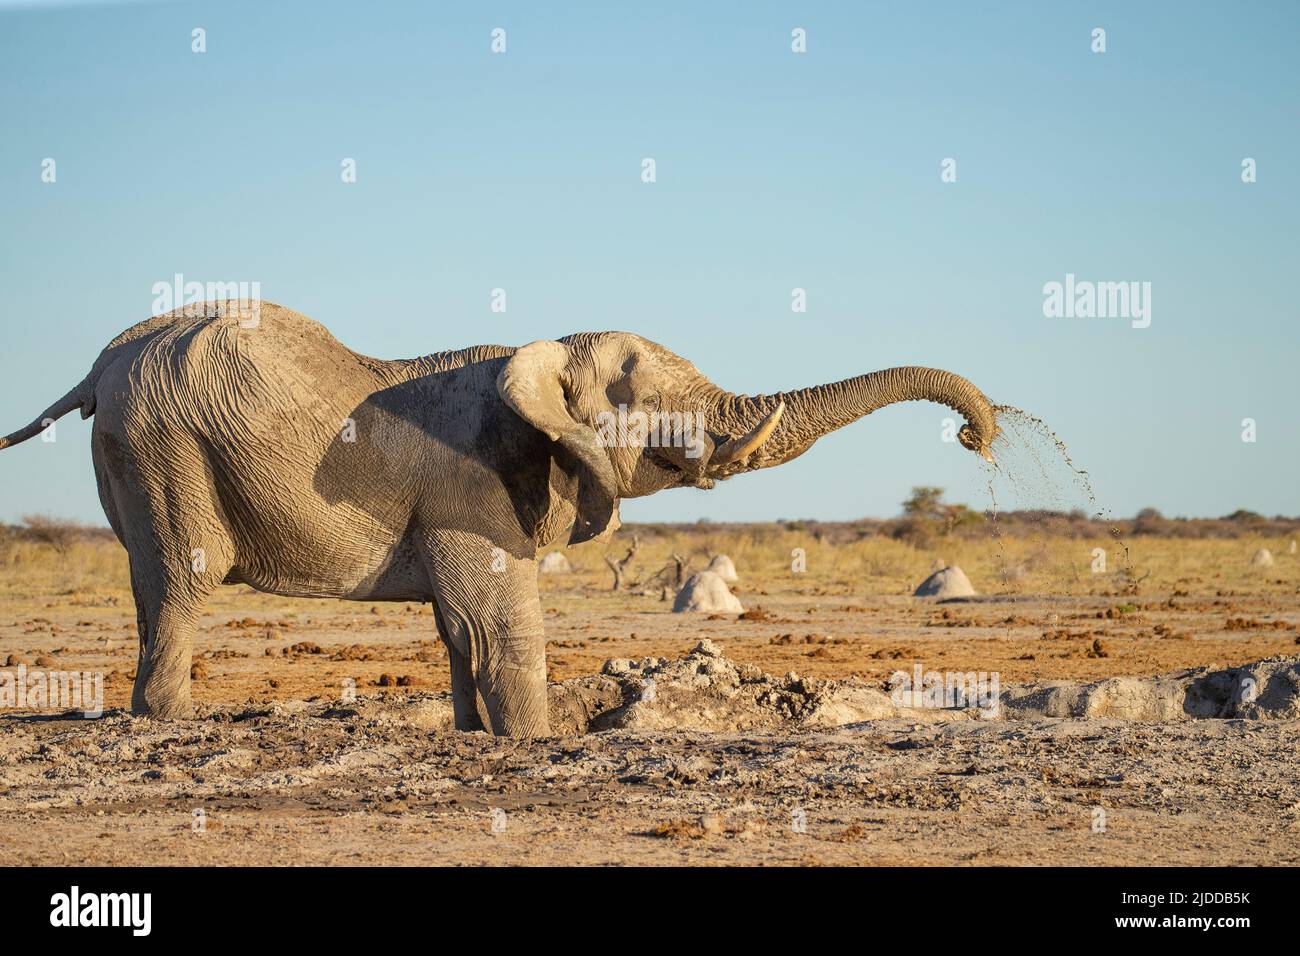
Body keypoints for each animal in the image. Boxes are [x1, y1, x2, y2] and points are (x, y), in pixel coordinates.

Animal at [1, 301, 999, 736]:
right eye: (654, 407)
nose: (974, 436)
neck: (542, 350)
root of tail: (101, 363)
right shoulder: (472, 485)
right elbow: (497, 619)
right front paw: (533, 743)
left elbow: (459, 629)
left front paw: (473, 736)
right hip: (163, 446)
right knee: (182, 581)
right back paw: (167, 723)